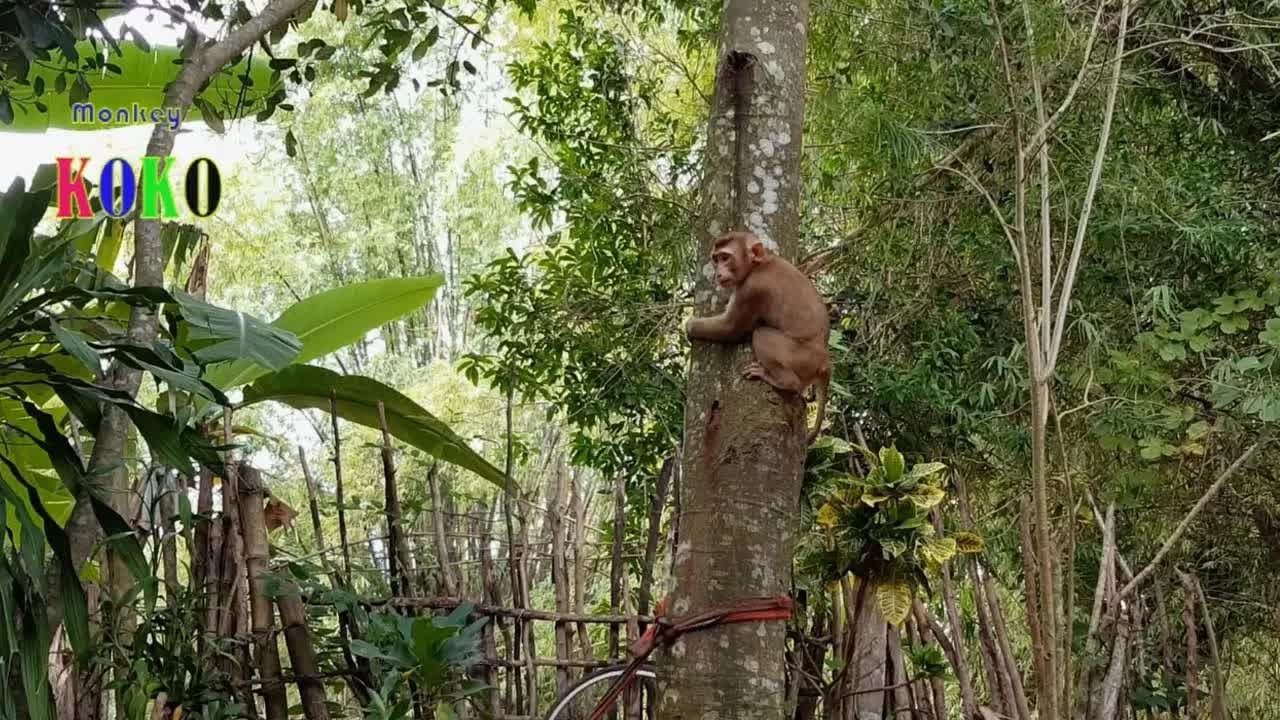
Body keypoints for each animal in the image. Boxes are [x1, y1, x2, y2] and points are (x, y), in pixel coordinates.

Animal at [685, 230, 832, 444]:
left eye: (725, 258)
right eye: (716, 259)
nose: (718, 273)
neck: (760, 264)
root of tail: (825, 361)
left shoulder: (751, 289)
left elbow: (730, 329)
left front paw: (690, 327)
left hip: (802, 358)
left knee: (762, 334)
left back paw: (784, 381)